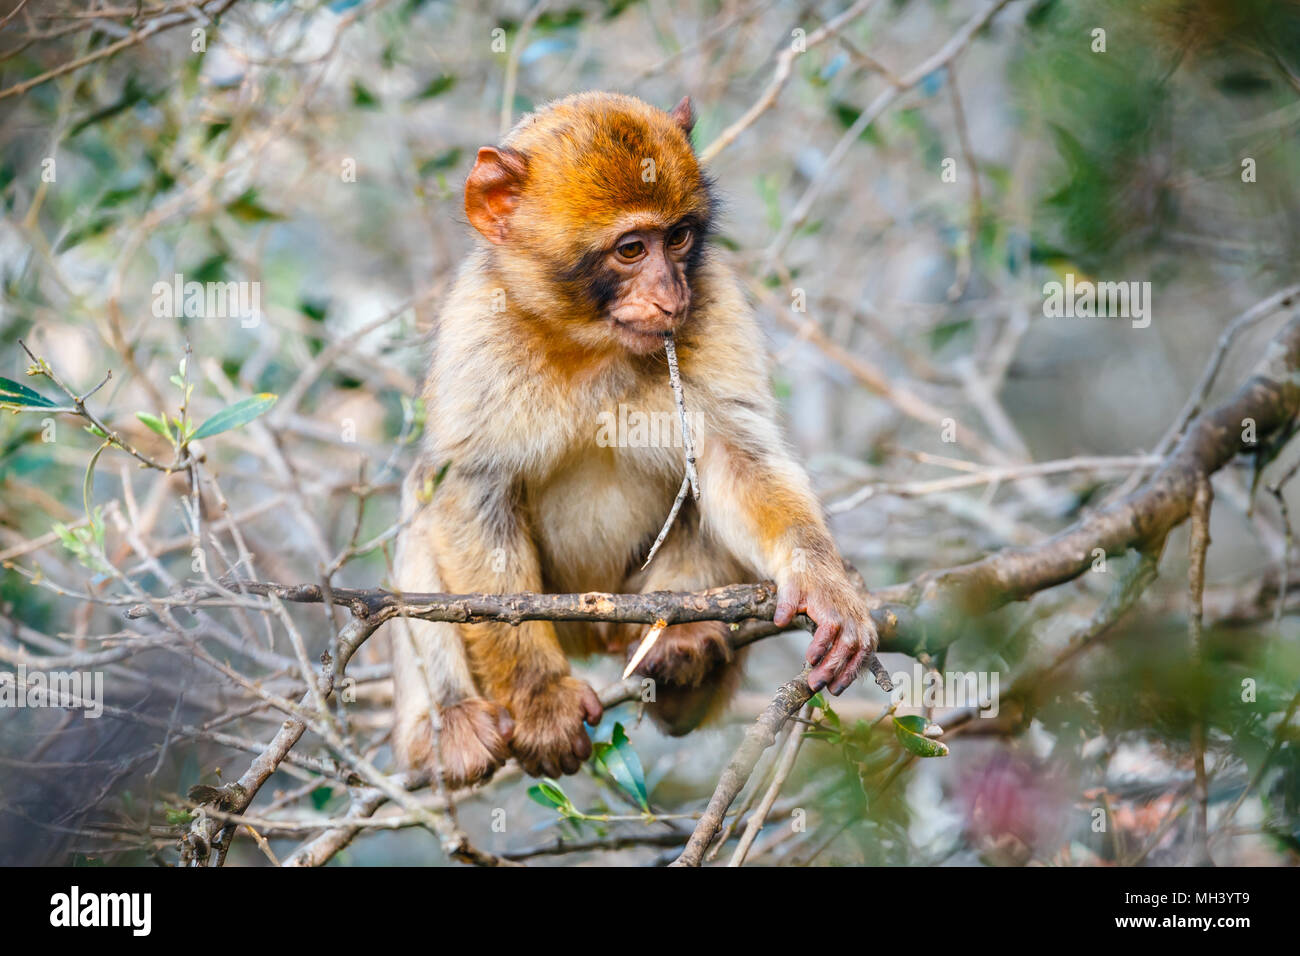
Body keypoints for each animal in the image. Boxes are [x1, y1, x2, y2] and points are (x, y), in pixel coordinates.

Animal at [388, 91, 877, 787]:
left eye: (677, 238)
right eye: (630, 250)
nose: (671, 296)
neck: (590, 343)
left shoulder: (716, 303)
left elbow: (735, 456)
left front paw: (824, 585)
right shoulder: (477, 329)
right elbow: (472, 489)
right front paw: (539, 697)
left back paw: (679, 653)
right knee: (420, 494)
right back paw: (449, 722)